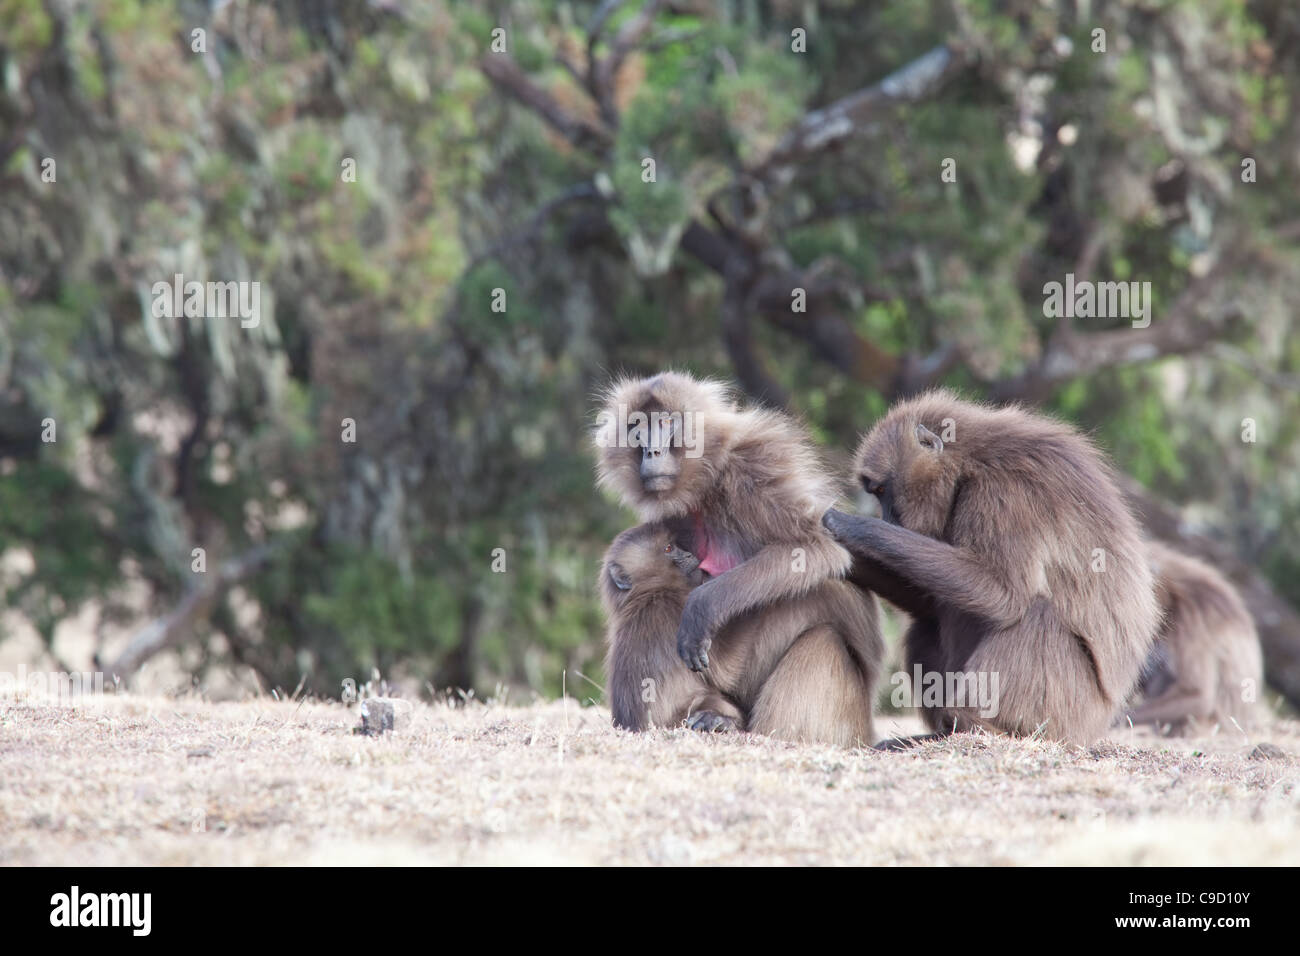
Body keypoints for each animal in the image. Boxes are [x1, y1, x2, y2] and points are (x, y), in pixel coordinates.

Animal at [821, 389, 1161, 747]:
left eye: (882, 491)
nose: (887, 518)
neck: (968, 463)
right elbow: (932, 603)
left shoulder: (1007, 494)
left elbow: (1002, 593)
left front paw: (849, 526)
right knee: (926, 625)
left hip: (1069, 712)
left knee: (1034, 615)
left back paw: (976, 725)